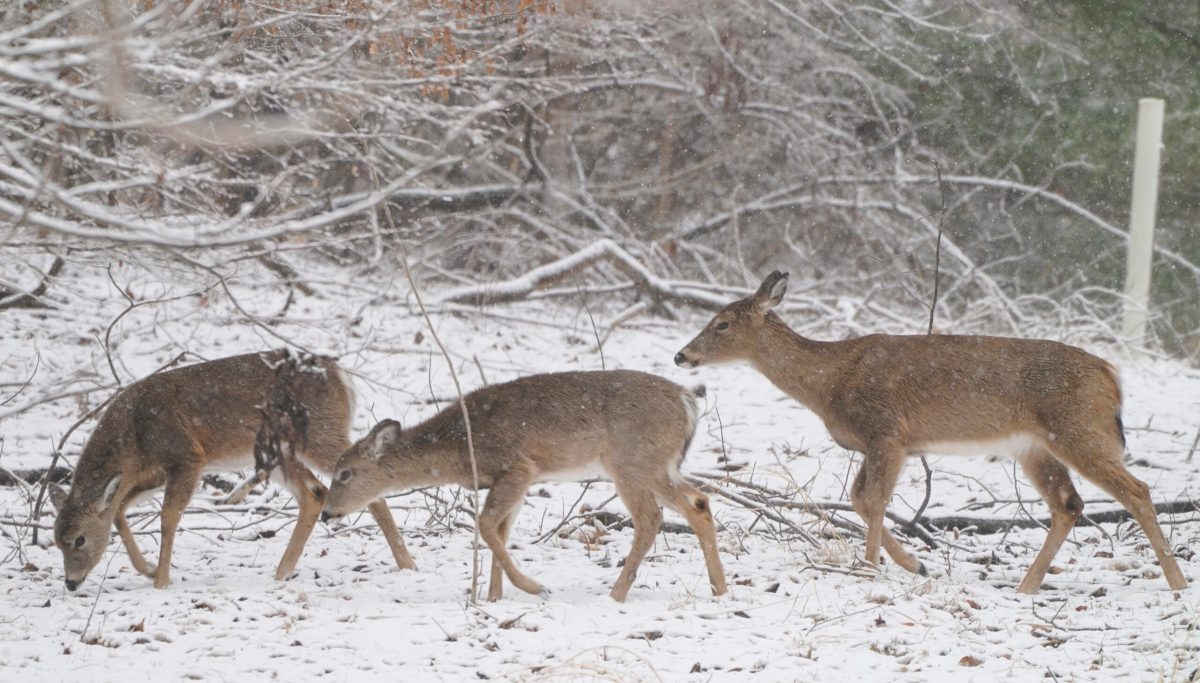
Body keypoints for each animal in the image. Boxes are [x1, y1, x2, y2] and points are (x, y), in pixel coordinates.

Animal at [49, 350, 416, 590]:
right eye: (56, 542)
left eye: (79, 539)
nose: (70, 583)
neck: (135, 439)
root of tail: (342, 377)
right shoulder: (151, 473)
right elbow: (119, 510)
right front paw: (149, 569)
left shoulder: (186, 456)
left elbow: (168, 517)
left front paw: (161, 581)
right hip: (280, 451)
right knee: (314, 494)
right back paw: (282, 572)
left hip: (319, 433)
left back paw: (407, 564)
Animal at [321, 369, 727, 602]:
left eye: (345, 473)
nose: (326, 513)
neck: (459, 447)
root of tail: (688, 402)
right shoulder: (515, 478)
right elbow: (500, 531)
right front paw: (494, 598)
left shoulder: (517, 466)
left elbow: (485, 525)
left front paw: (532, 587)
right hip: (655, 464)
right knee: (698, 502)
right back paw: (719, 588)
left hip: (632, 460)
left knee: (652, 517)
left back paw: (616, 594)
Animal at [674, 271, 1187, 594]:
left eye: (721, 323)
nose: (682, 355)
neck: (828, 380)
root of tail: (1111, 375)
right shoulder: (878, 442)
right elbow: (860, 499)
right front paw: (914, 563)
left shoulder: (887, 431)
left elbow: (873, 500)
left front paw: (873, 567)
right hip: (1034, 446)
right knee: (1069, 503)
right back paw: (1027, 585)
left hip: (1080, 430)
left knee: (1137, 490)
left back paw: (1177, 582)